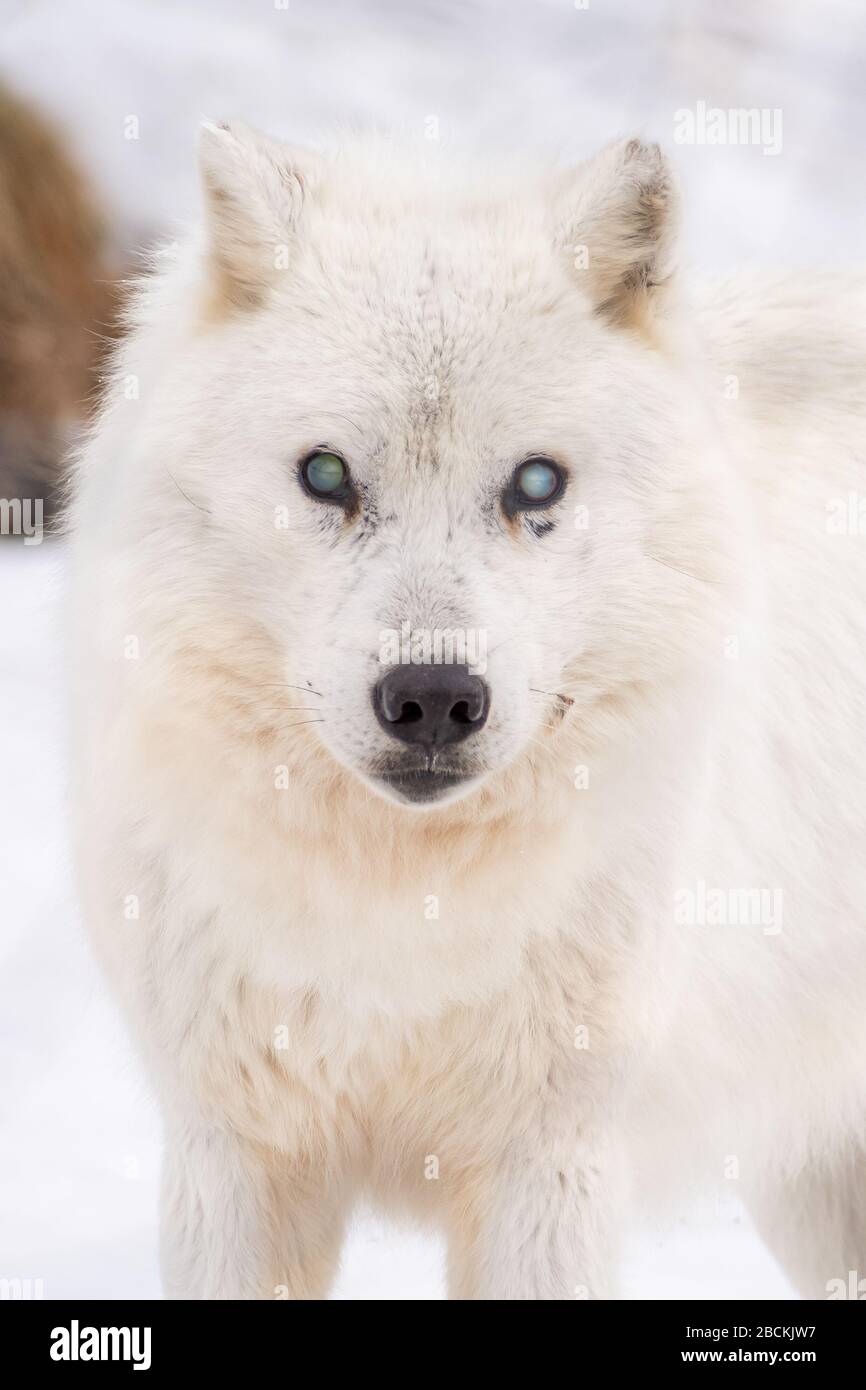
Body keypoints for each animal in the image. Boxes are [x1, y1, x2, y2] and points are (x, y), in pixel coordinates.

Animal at [67, 122, 866, 1299]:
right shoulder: (234, 1156)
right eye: (325, 474)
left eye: (535, 483)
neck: (402, 915)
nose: (434, 698)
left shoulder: (549, 1168)